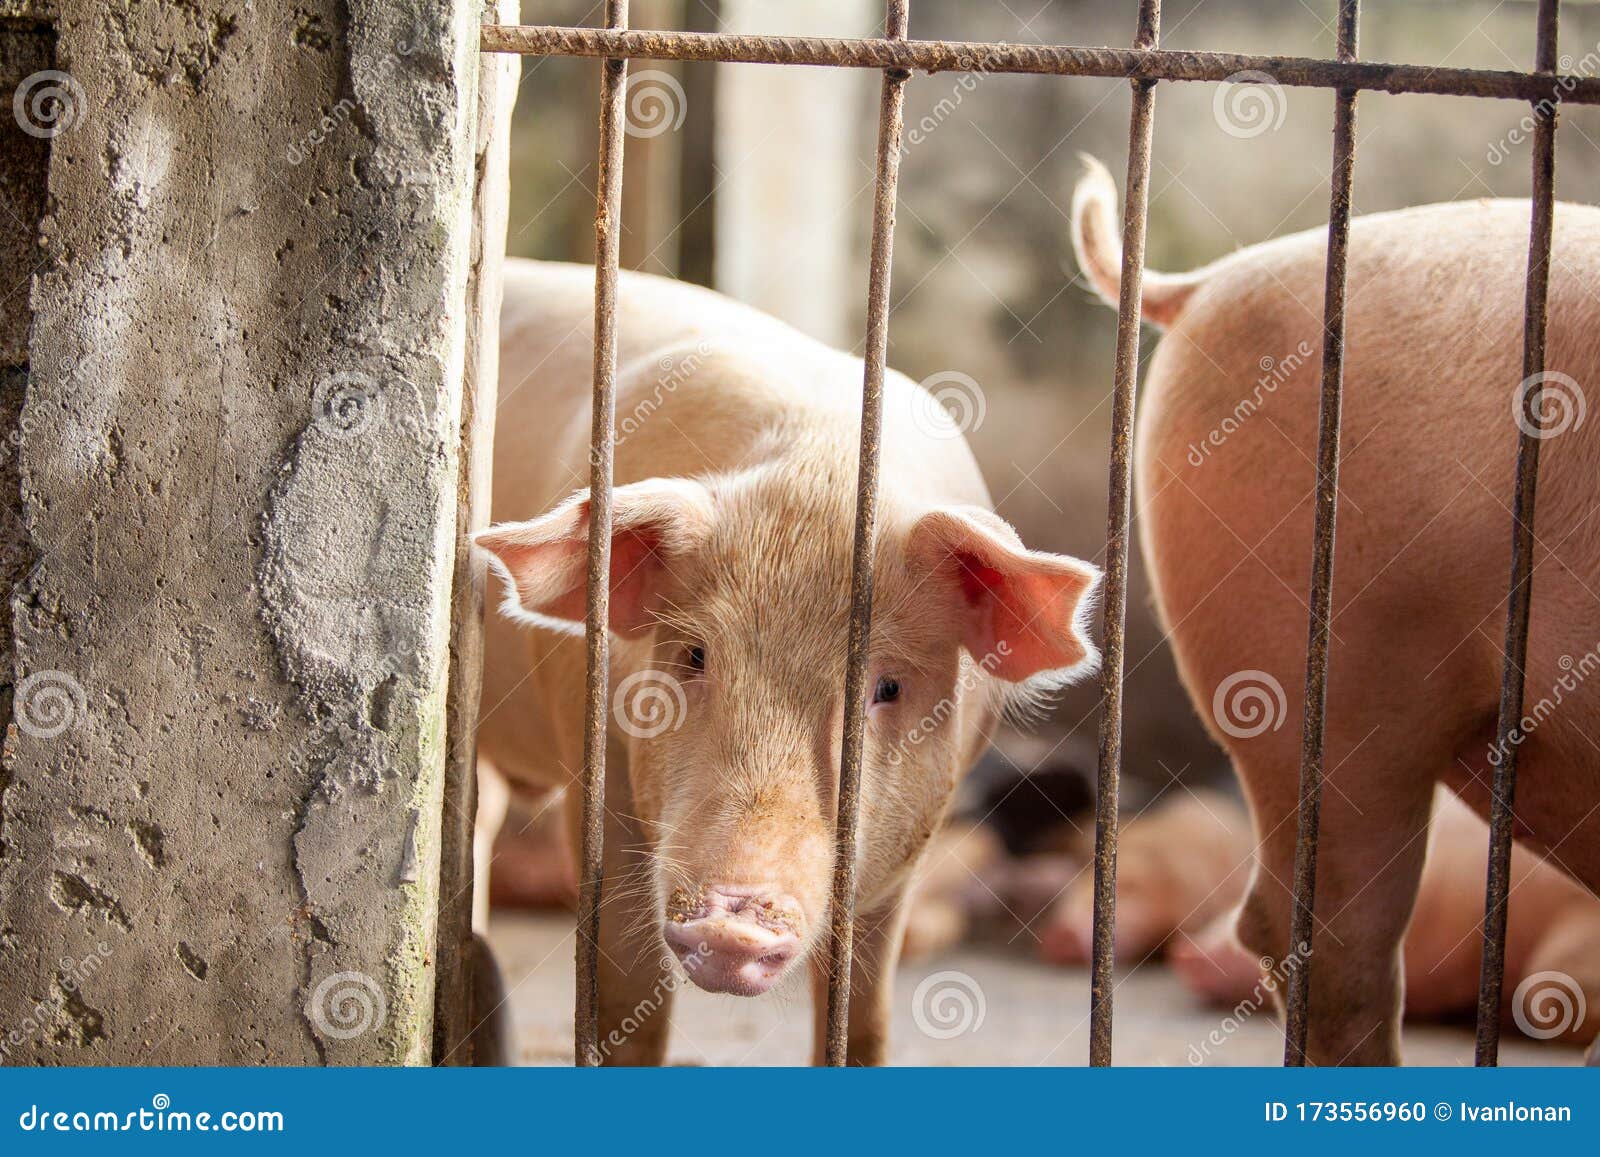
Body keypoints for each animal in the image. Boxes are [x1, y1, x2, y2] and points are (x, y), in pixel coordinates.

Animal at [472, 258, 1103, 1065]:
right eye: (694, 656)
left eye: (886, 686)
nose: (730, 921)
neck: (820, 469)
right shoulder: (600, 777)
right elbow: (628, 1001)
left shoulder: (904, 853)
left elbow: (863, 1016)